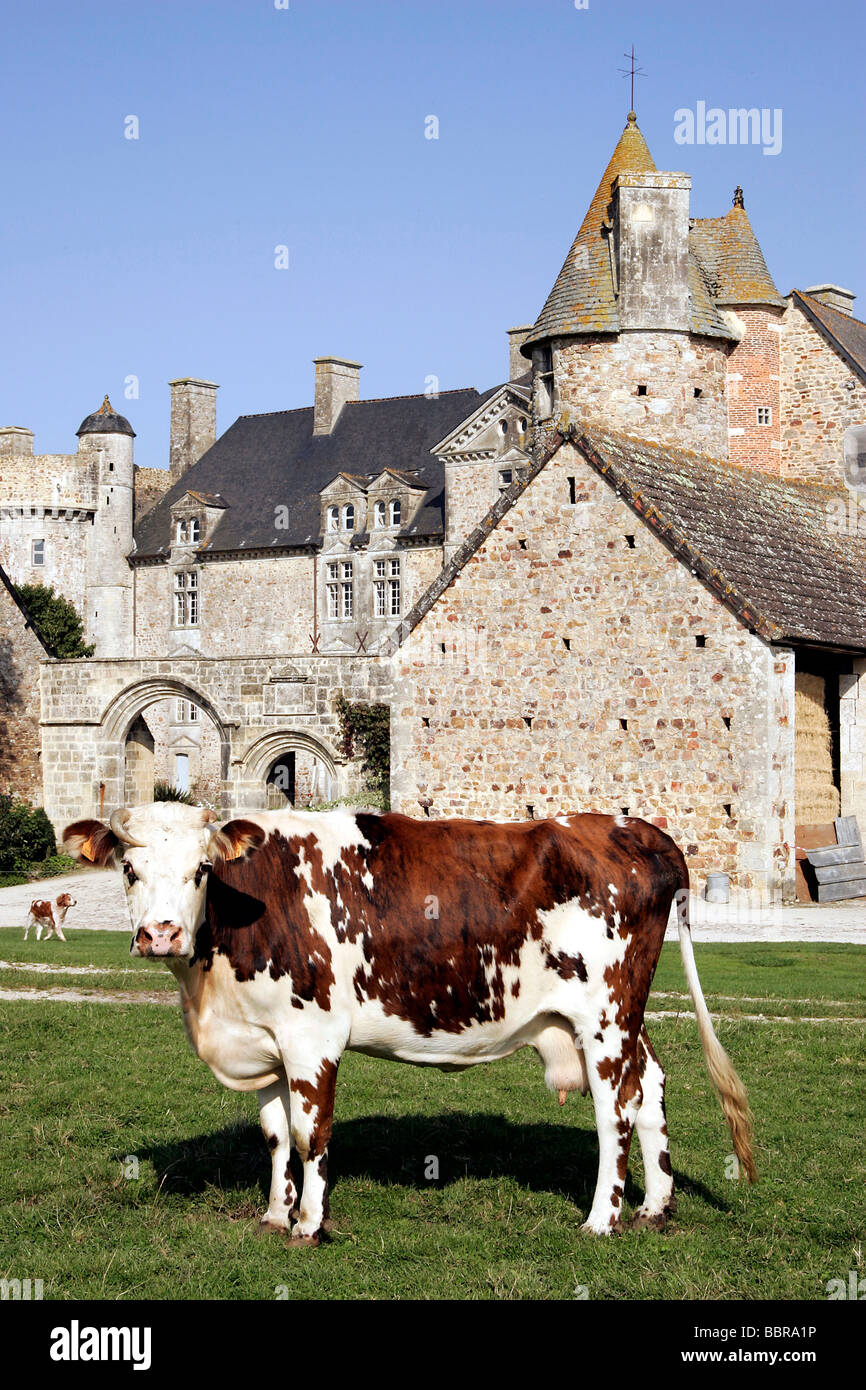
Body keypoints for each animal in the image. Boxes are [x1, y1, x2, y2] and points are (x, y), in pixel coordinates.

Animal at [63, 801, 755, 1243]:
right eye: (129, 870)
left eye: (201, 871)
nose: (160, 934)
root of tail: (636, 829)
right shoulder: (264, 1038)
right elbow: (276, 1134)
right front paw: (275, 1216)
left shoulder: (313, 1035)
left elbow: (311, 1134)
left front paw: (309, 1226)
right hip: (624, 1017)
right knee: (652, 1089)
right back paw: (655, 1208)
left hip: (605, 1016)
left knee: (616, 1110)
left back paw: (601, 1221)